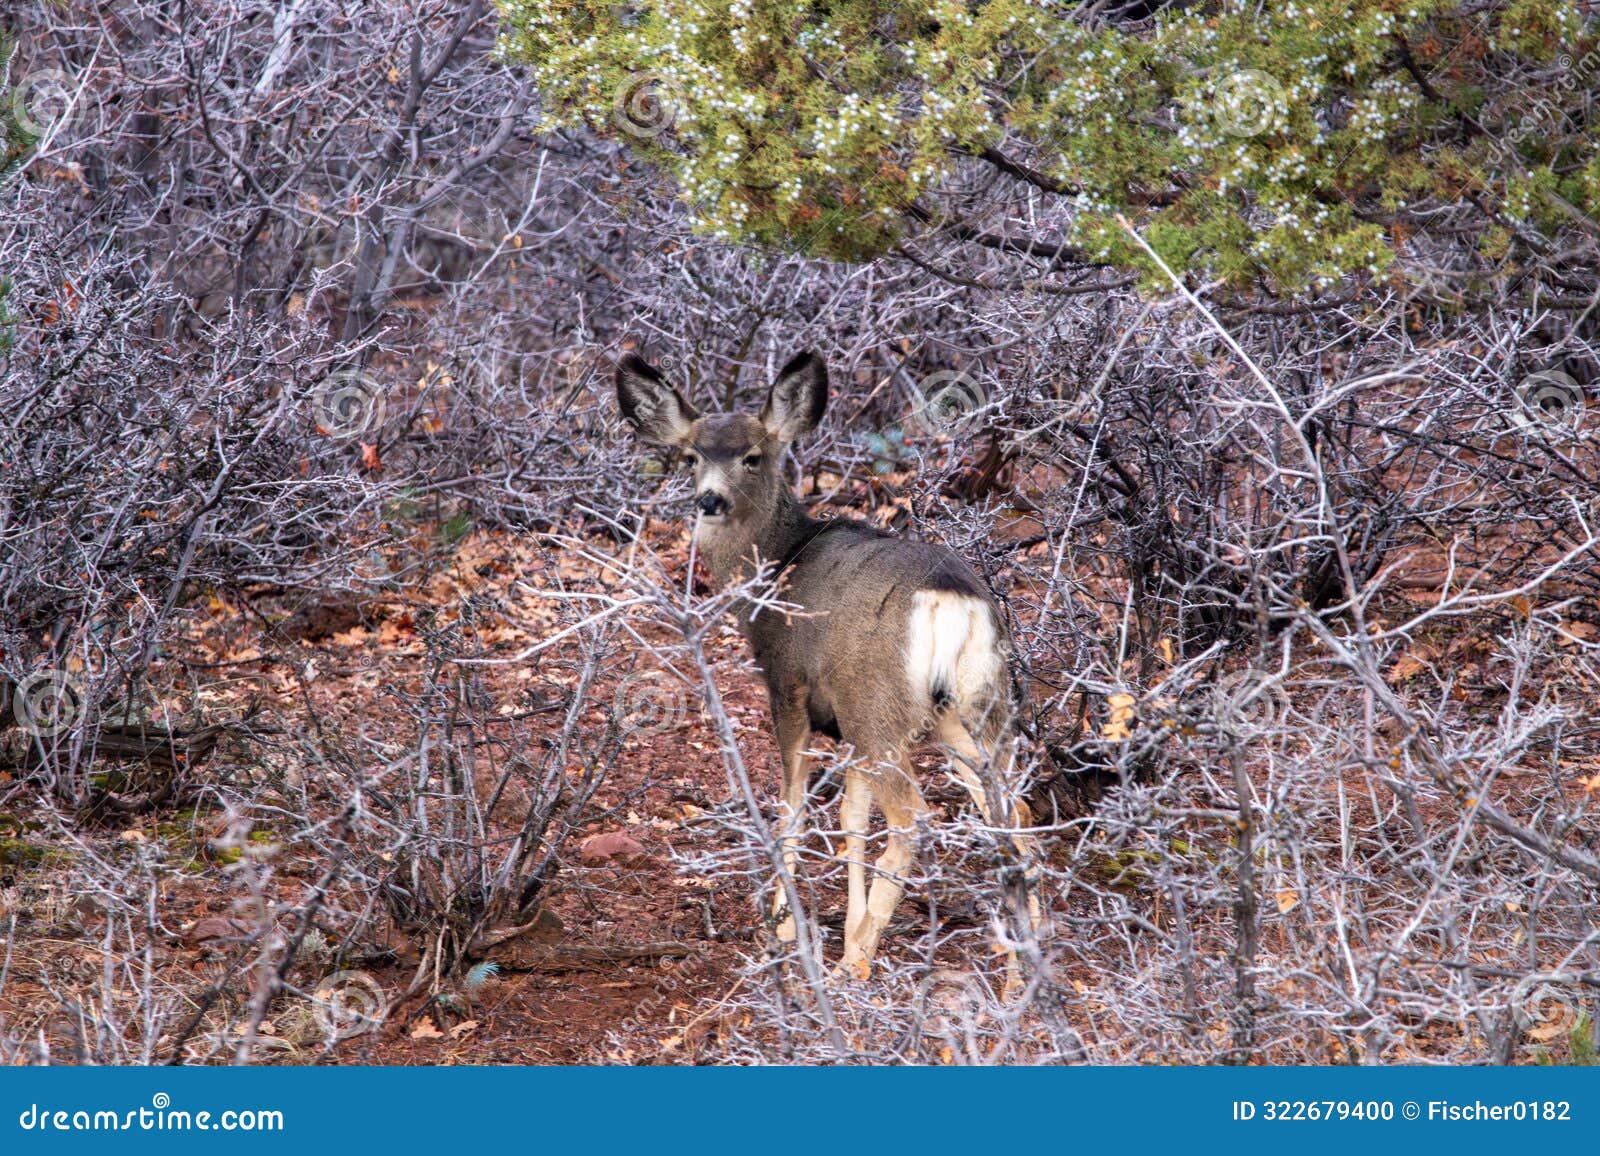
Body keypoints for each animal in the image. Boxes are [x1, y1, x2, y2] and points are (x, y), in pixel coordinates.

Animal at [615, 349, 1041, 986]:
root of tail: (950, 600)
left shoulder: (790, 685)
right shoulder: (845, 723)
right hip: (972, 707)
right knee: (1017, 813)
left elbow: (792, 807)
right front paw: (841, 922)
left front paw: (786, 927)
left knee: (913, 818)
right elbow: (851, 816)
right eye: (690, 457)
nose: (709, 500)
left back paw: (856, 963)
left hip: (880, 702)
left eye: (752, 456)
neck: (775, 567)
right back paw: (1021, 973)